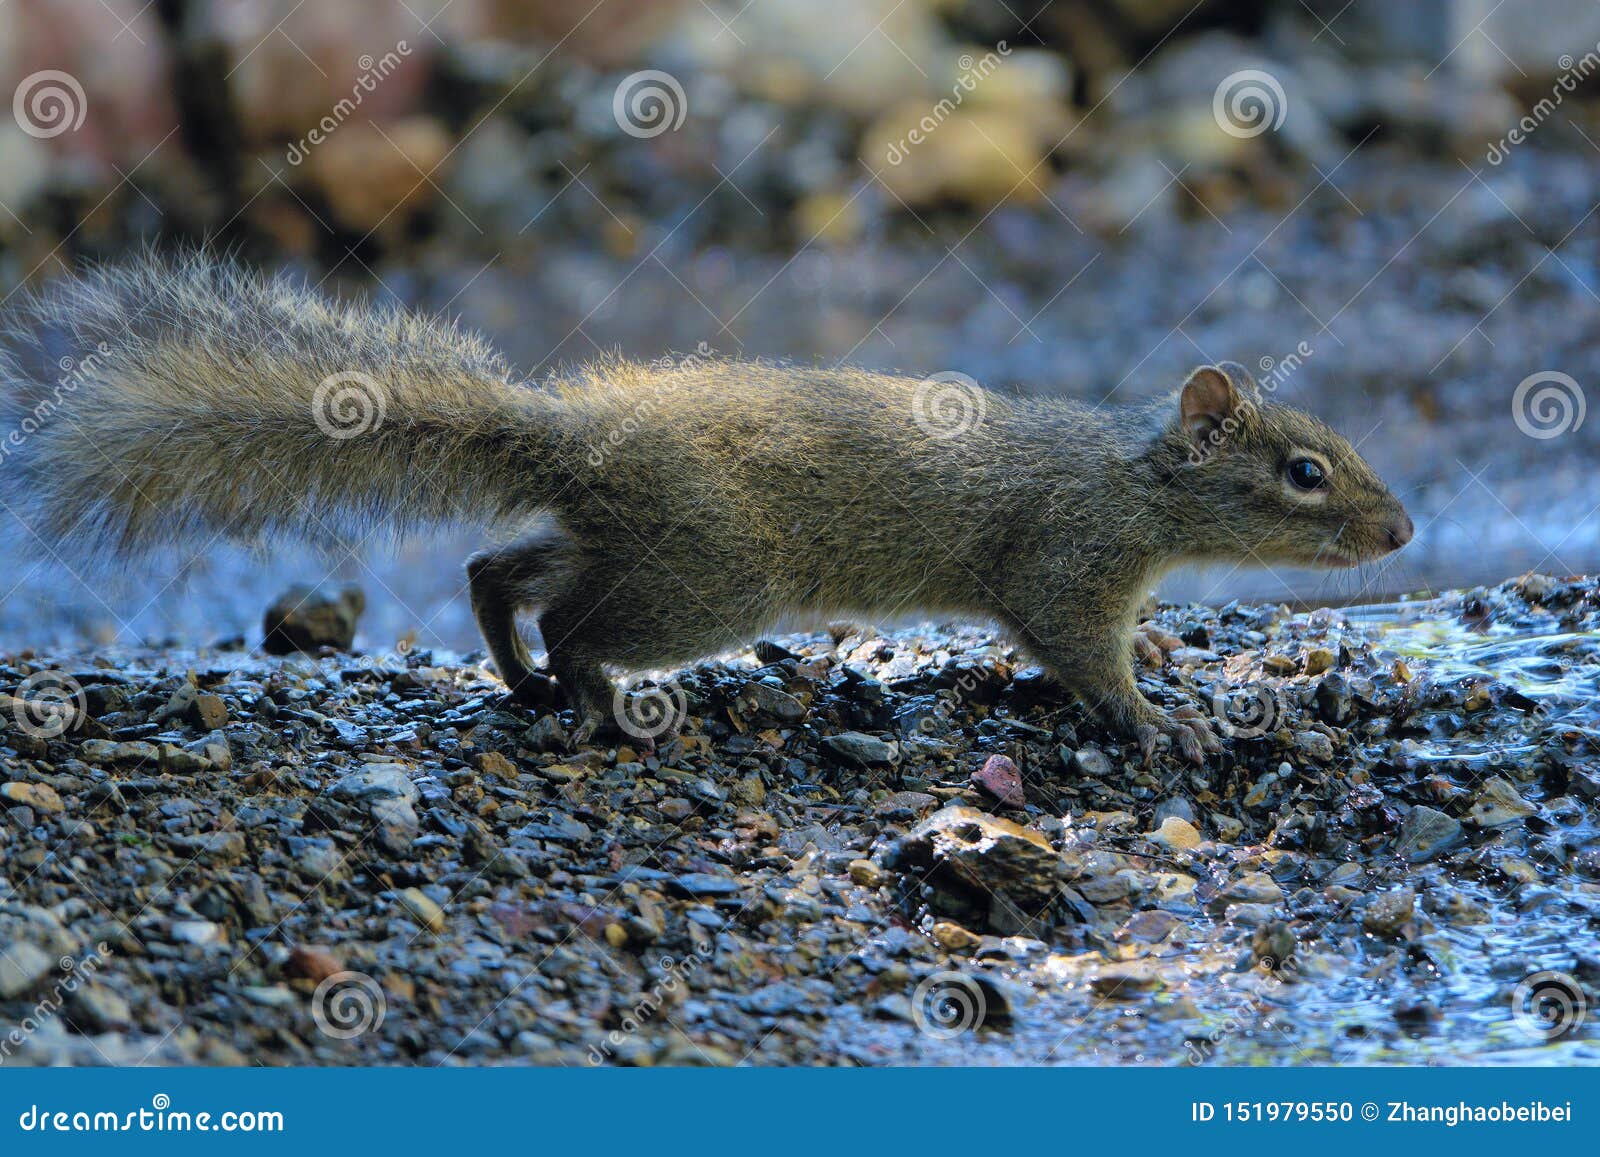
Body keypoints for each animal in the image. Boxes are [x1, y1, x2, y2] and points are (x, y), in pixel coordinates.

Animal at [0, 255, 1412, 761]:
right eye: (1304, 471)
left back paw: (517, 675)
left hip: (630, 541)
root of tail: (582, 437)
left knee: (496, 568)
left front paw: (1167, 648)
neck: (1132, 479)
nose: (1400, 534)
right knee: (573, 621)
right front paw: (1164, 721)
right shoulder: (1065, 562)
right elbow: (1079, 650)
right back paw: (587, 698)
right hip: (706, 578)